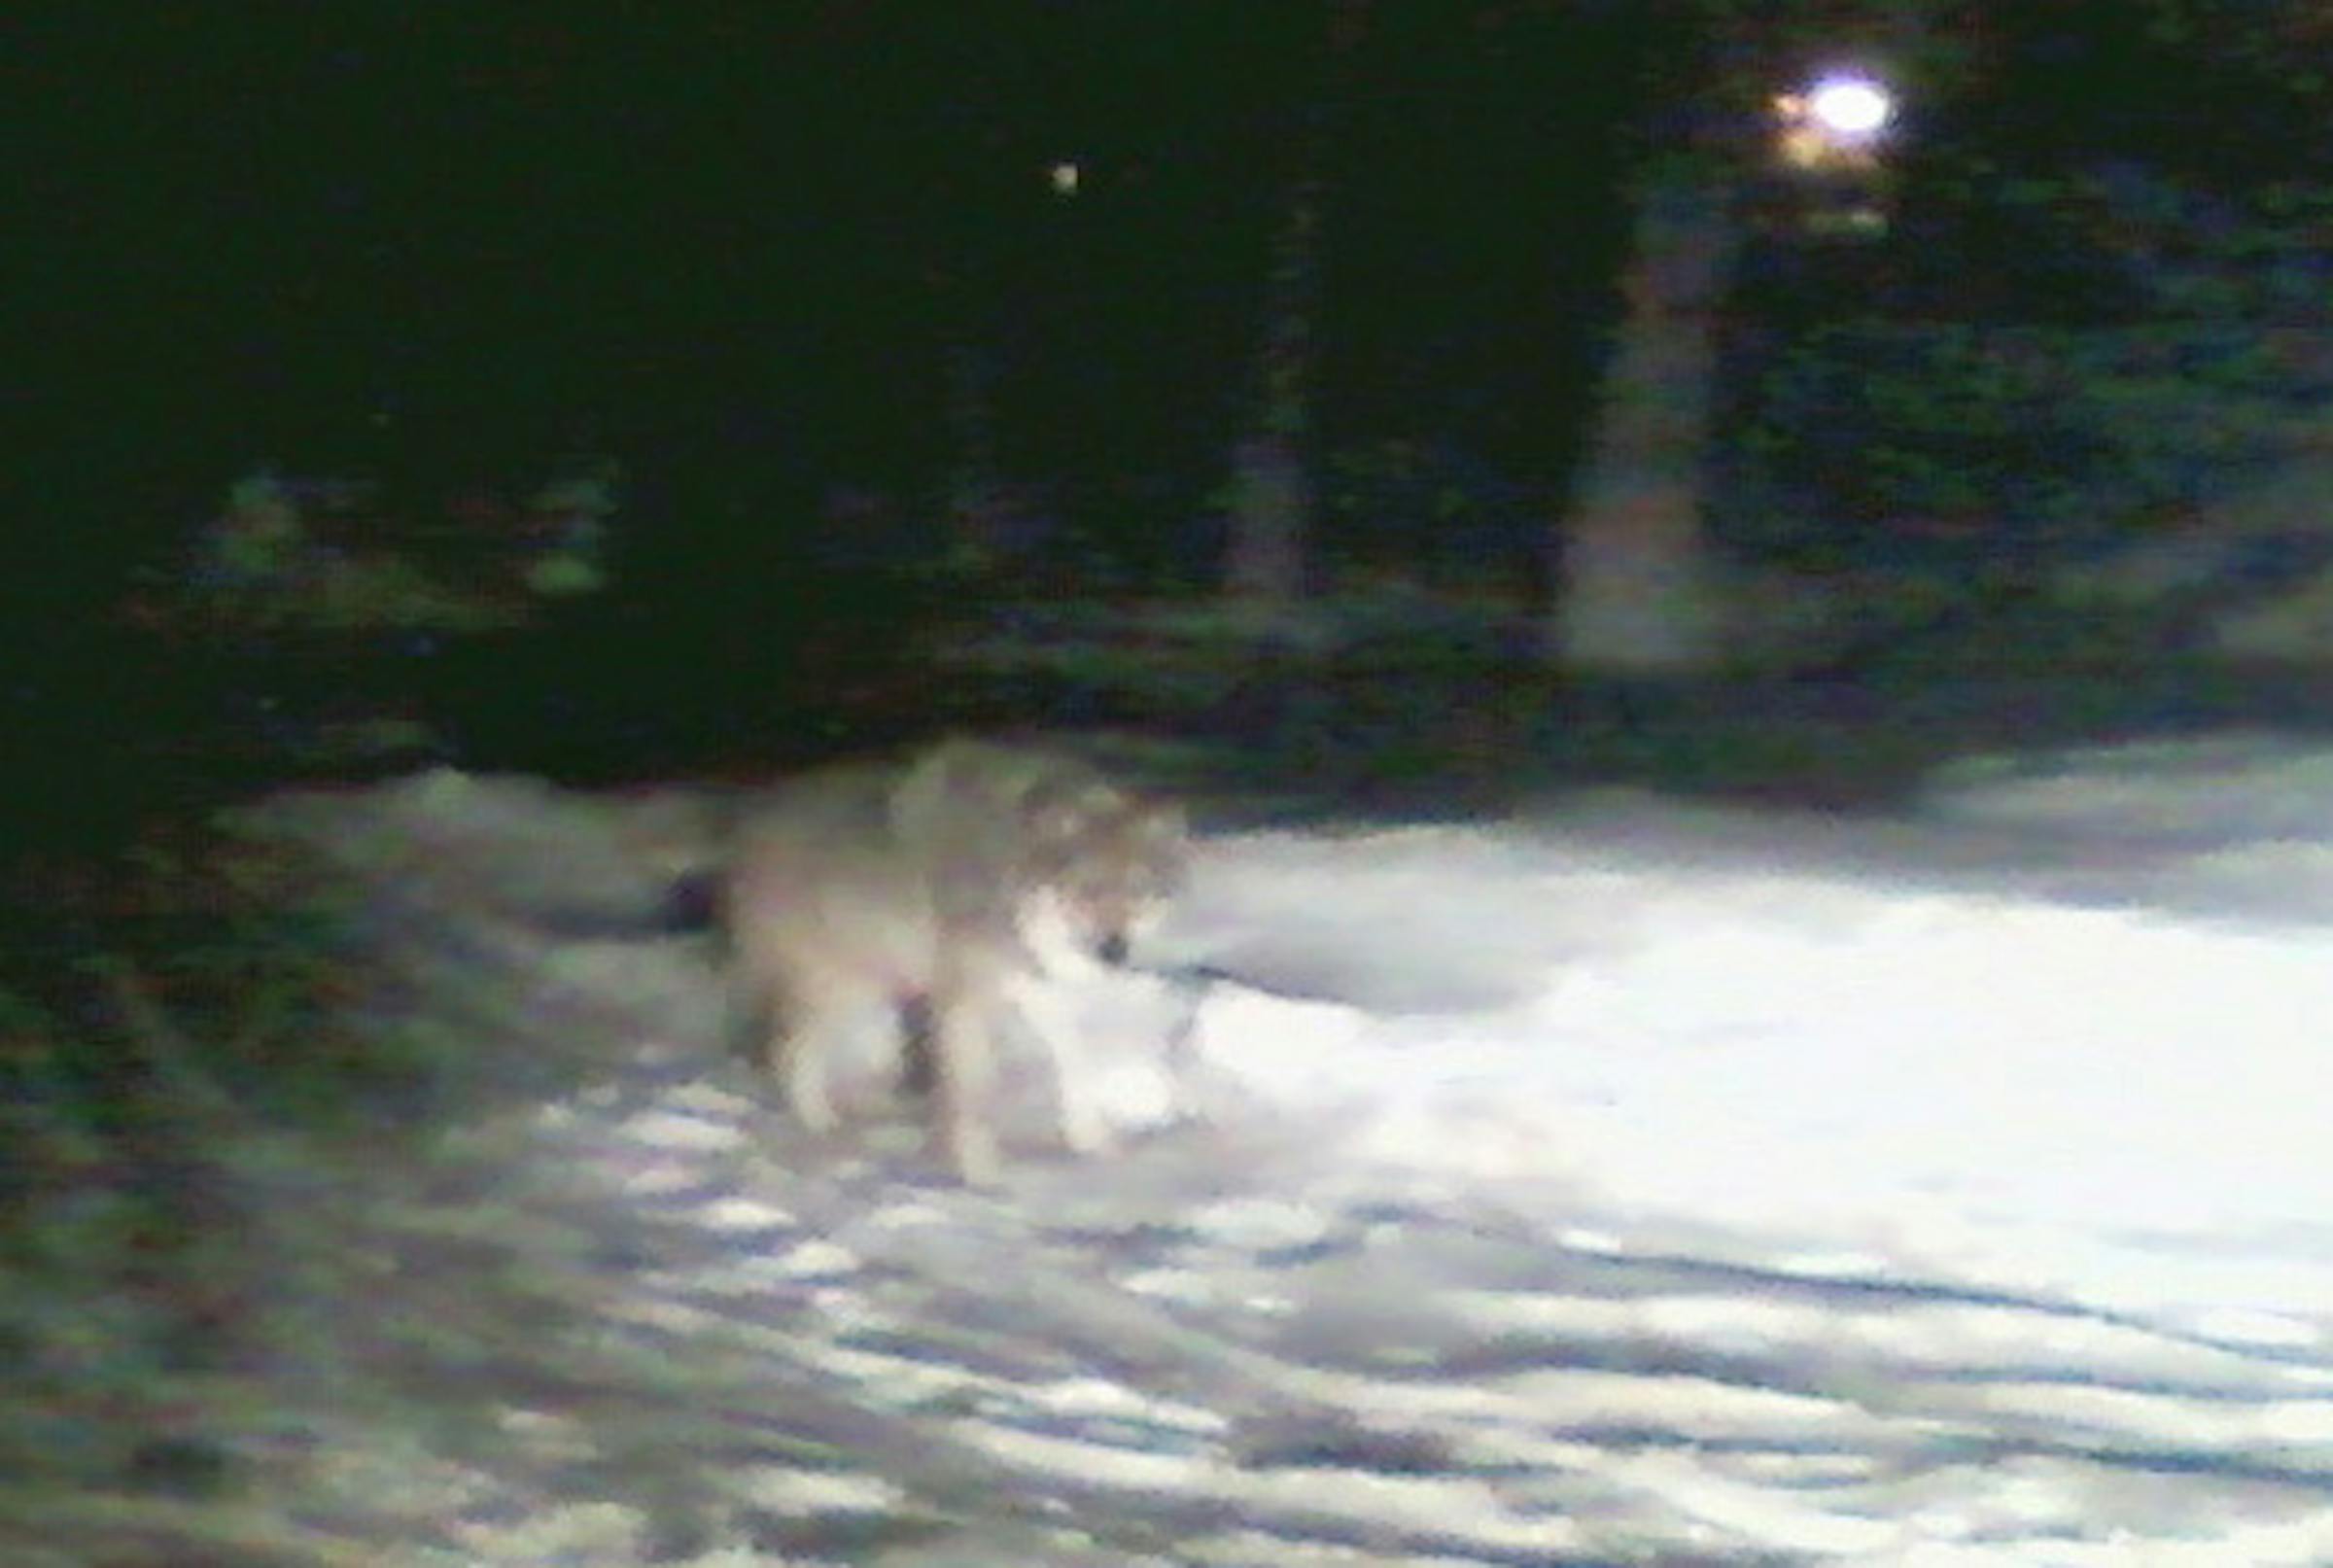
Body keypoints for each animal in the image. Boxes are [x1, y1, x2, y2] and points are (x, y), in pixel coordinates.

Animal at [720, 736, 1189, 1184]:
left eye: (1138, 891)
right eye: (1086, 889)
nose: (1113, 950)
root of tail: (753, 824)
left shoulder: (1045, 994)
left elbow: (1077, 1070)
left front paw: (1095, 1147)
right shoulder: (964, 1006)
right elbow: (974, 1101)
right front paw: (981, 1178)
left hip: (873, 989)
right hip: (837, 990)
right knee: (789, 1053)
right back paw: (820, 1130)